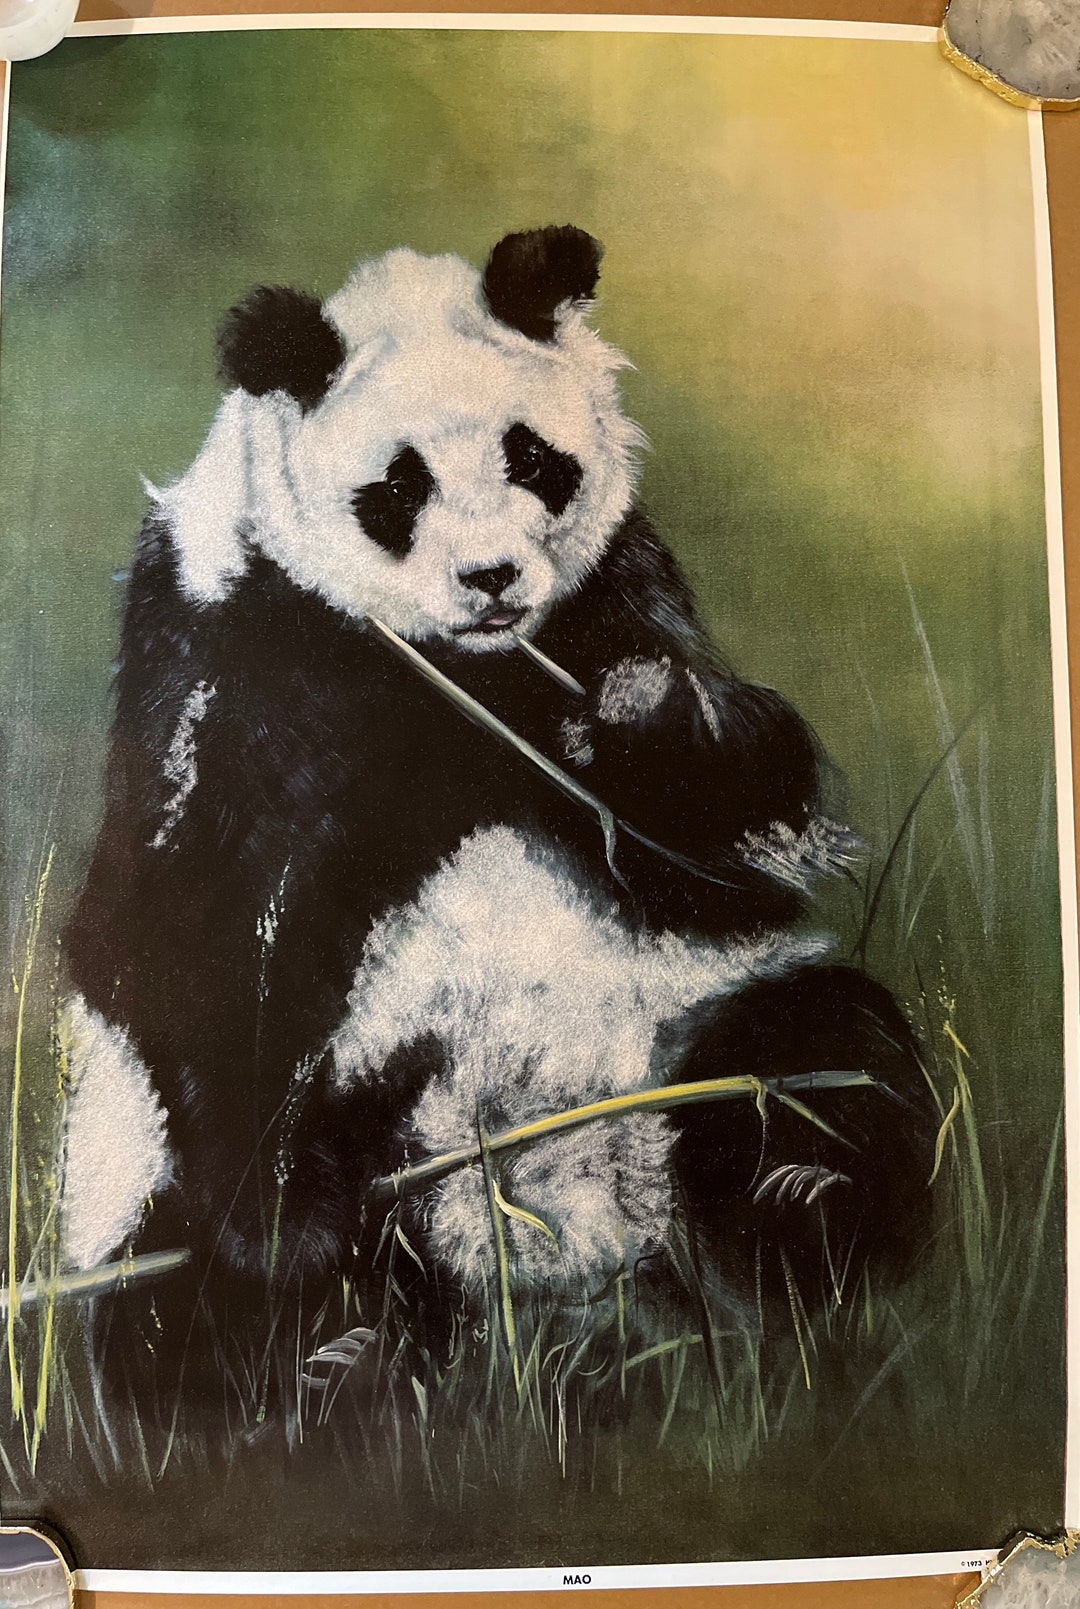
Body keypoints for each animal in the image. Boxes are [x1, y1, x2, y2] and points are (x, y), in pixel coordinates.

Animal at [59, 226, 936, 1340]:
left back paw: (806, 1201)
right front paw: (281, 1221)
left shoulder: (613, 591)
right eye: (399, 489)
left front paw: (643, 718)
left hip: (695, 1030)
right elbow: (192, 917)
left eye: (533, 457)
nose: (491, 579)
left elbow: (728, 832)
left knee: (827, 1055)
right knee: (180, 1310)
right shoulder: (236, 640)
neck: (462, 669)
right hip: (196, 1165)